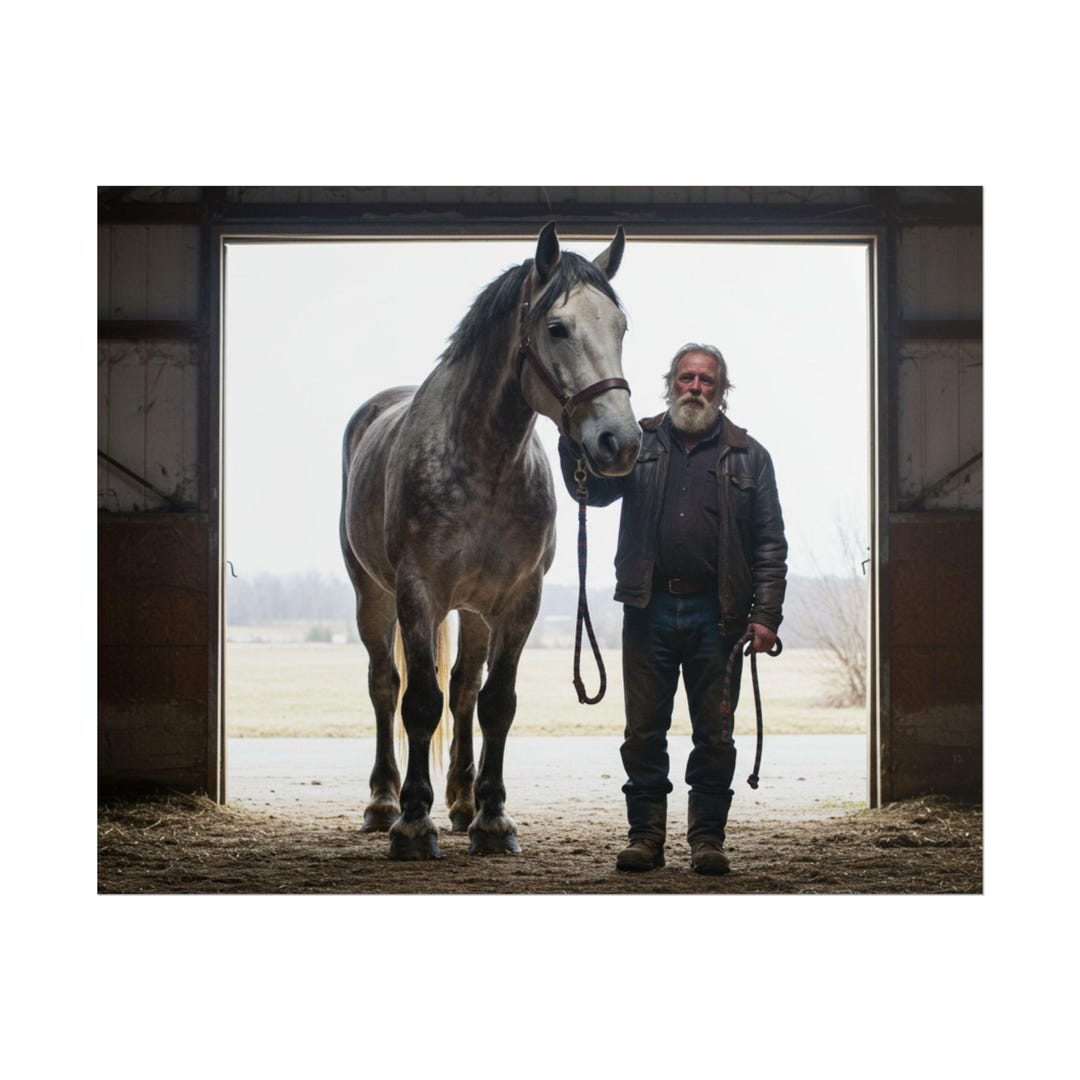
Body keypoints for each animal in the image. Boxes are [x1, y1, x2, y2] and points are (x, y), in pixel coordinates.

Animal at [339, 223, 641, 860]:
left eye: (620, 327)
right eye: (557, 328)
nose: (619, 443)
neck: (486, 461)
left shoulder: (518, 600)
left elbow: (495, 703)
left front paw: (493, 820)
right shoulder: (419, 594)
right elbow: (418, 702)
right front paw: (413, 824)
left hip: (475, 612)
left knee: (463, 691)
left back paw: (460, 802)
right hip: (372, 595)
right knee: (385, 686)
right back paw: (384, 802)